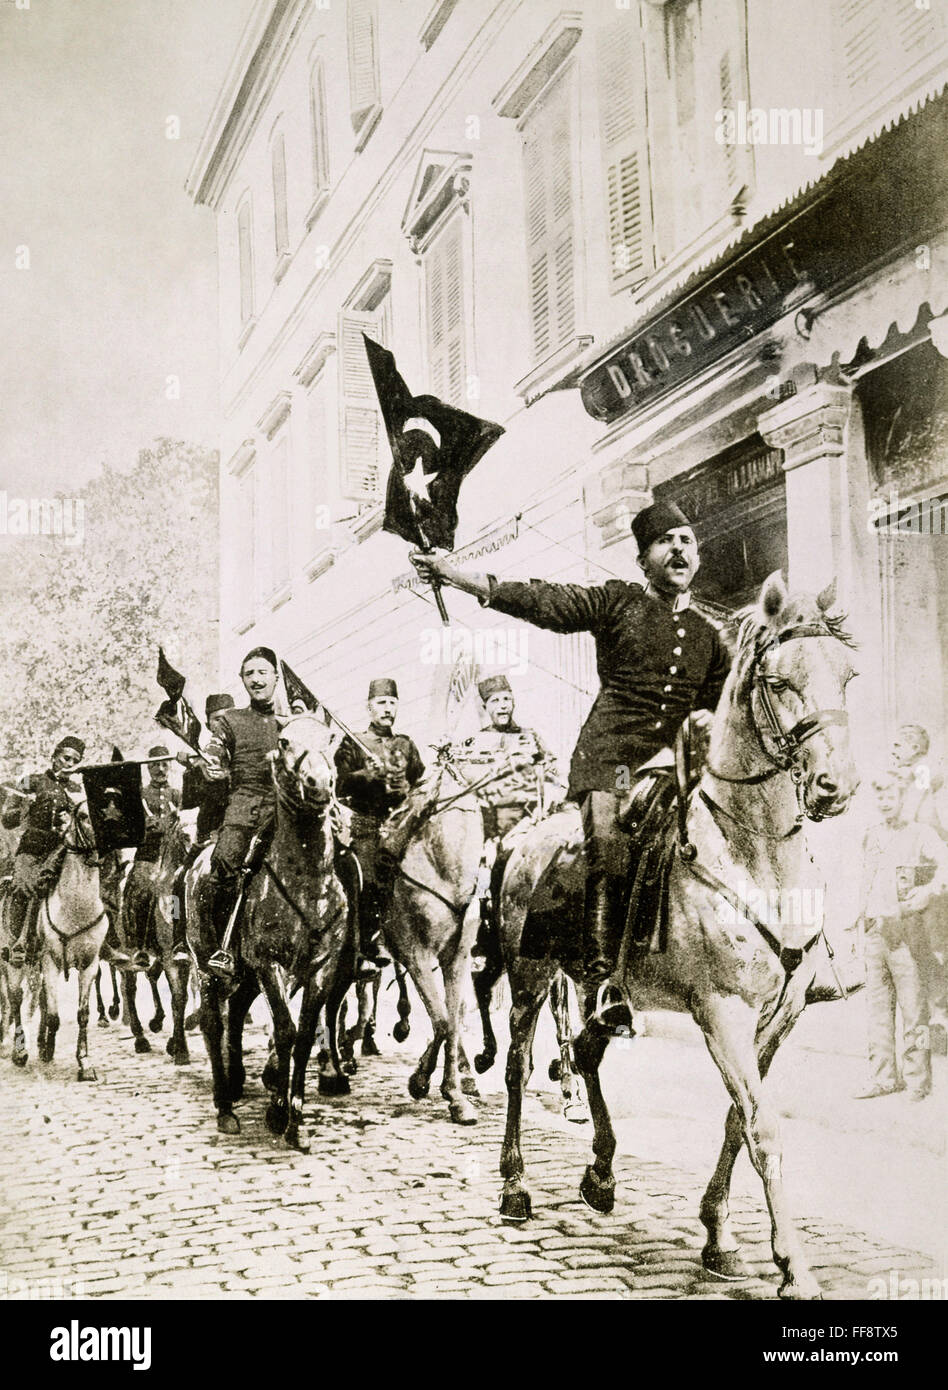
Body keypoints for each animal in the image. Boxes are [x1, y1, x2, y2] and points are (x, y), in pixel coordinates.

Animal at [182, 717, 353, 1150]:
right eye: (285, 741)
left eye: (330, 739)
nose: (319, 784)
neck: (307, 880)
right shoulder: (269, 963)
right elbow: (285, 1029)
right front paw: (278, 1112)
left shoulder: (321, 967)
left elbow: (305, 1033)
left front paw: (296, 1117)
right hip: (207, 965)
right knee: (214, 1023)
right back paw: (224, 1106)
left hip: (245, 977)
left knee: (236, 1015)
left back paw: (237, 1083)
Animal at [494, 575, 856, 1301]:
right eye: (780, 681)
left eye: (847, 675)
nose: (837, 786)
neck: (757, 857)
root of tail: (524, 835)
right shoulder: (722, 1012)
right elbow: (763, 1127)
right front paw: (794, 1266)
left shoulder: (780, 1016)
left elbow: (736, 1119)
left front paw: (719, 1237)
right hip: (530, 976)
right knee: (520, 1065)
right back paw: (516, 1185)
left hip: (605, 994)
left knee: (585, 1052)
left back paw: (601, 1174)